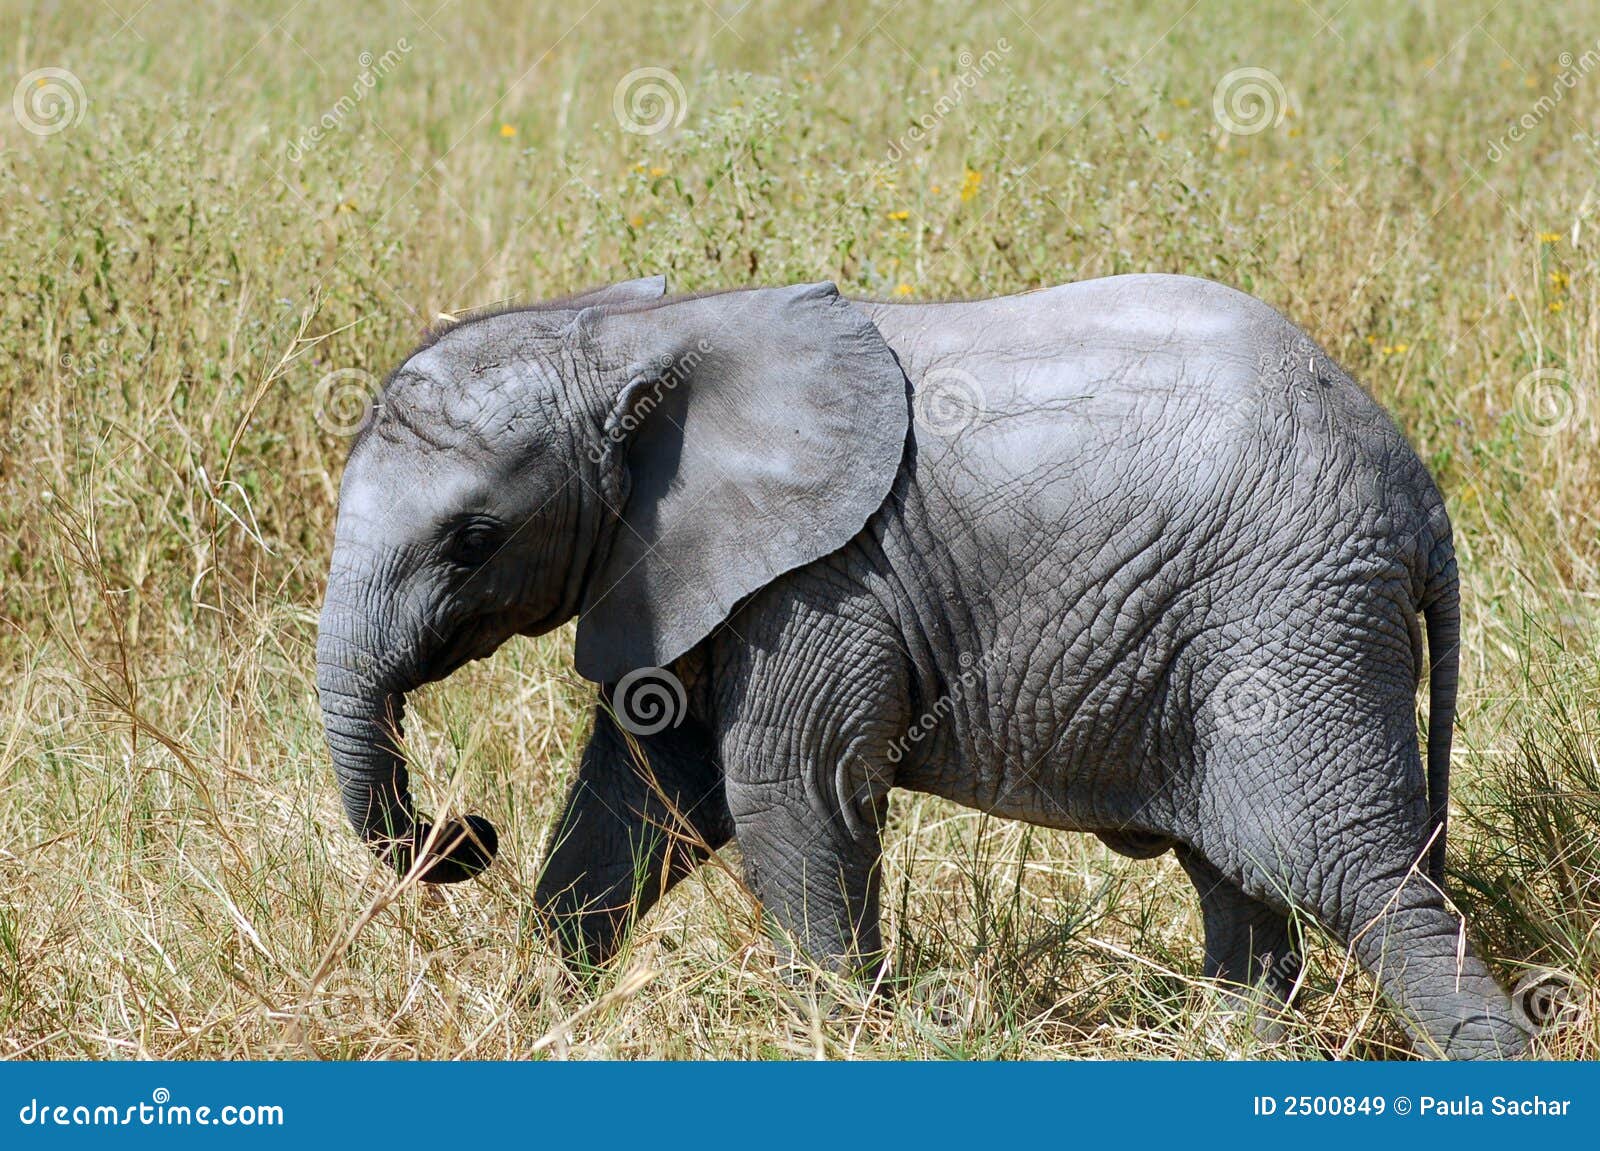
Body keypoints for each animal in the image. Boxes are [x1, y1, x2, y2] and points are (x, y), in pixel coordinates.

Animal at [315, 272, 1532, 1059]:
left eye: (473, 539)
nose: (464, 831)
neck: (636, 332)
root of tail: (1423, 503)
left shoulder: (822, 580)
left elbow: (787, 794)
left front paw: (838, 1040)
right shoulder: (681, 571)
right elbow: (642, 799)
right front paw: (538, 1018)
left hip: (1290, 619)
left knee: (1356, 877)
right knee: (1241, 878)